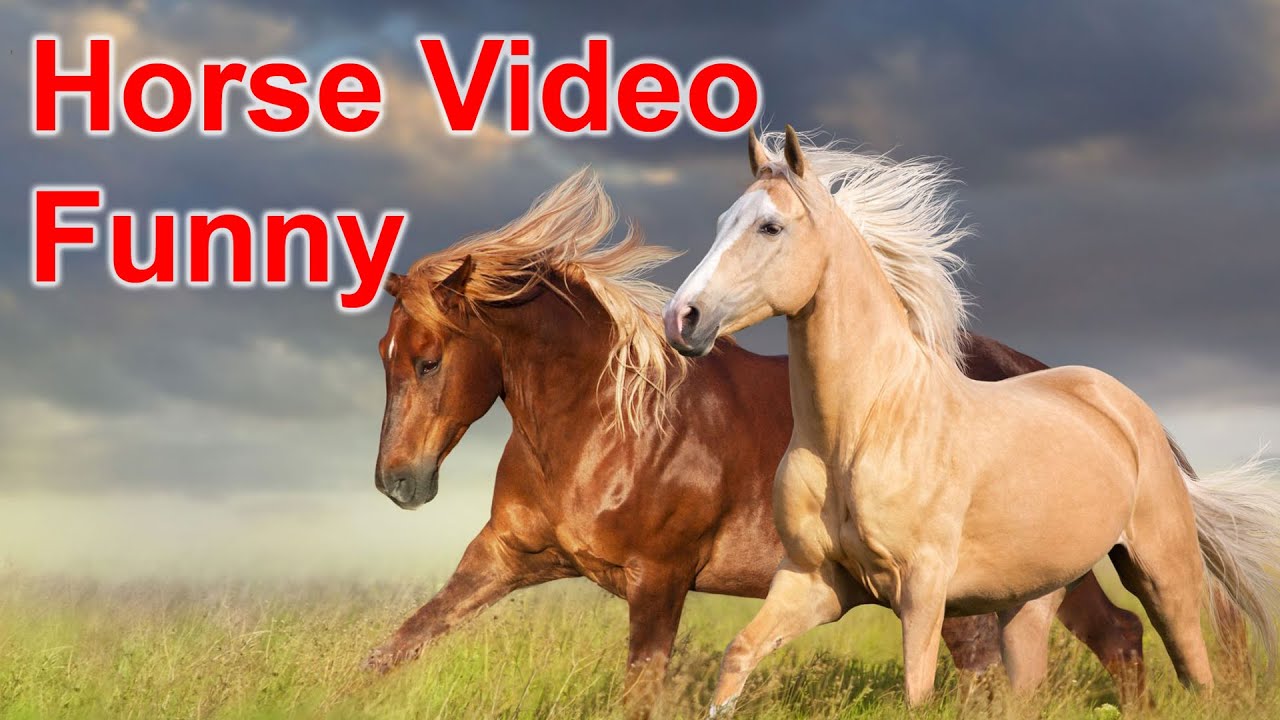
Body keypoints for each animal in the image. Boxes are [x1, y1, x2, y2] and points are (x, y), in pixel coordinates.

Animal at [361, 169, 1148, 708]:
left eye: (429, 360)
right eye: (384, 354)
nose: (398, 482)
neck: (603, 426)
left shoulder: (660, 580)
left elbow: (640, 693)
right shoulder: (504, 557)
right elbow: (395, 648)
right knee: (1119, 636)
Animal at [663, 127, 1280, 712]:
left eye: (770, 227)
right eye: (722, 222)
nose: (682, 318)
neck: (862, 431)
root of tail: (1130, 411)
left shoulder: (921, 589)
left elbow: (917, 690)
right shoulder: (813, 580)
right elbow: (738, 655)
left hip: (1162, 574)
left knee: (1194, 670)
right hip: (1030, 601)